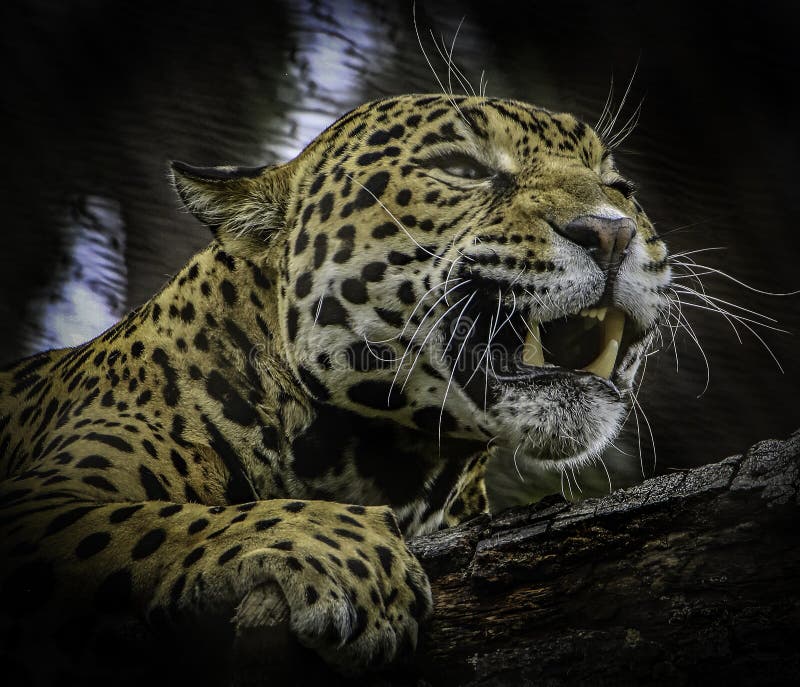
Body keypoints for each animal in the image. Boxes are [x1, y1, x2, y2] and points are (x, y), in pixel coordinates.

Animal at [0, 94, 670, 682]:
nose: (611, 233)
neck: (394, 467)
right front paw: (349, 559)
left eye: (620, 188)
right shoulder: (43, 498)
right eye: (462, 170)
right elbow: (163, 520)